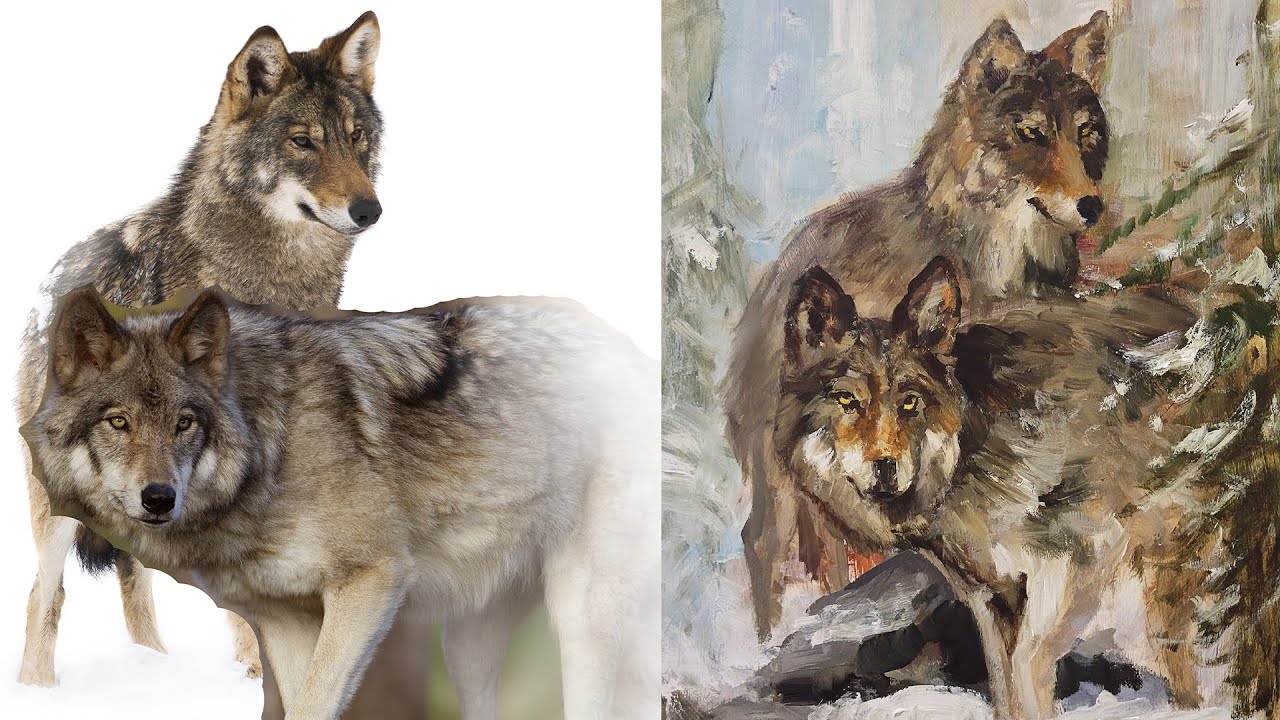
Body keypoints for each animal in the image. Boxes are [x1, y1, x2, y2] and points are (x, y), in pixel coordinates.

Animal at [16, 11, 383, 694]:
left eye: (356, 138)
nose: (369, 209)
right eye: (303, 141)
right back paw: (39, 691)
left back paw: (153, 666)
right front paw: (255, 671)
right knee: (42, 597)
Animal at [25, 287, 661, 720]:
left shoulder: (372, 581)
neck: (272, 448)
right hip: (467, 643)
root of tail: (633, 353)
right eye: (118, 422)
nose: (159, 498)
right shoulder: (286, 620)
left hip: (581, 617)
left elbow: (313, 702)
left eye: (184, 423)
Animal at [777, 259, 1209, 717]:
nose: (885, 468)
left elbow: (1027, 665)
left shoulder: (1084, 554)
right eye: (847, 400)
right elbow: (1003, 683)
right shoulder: (991, 596)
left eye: (909, 402)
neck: (971, 447)